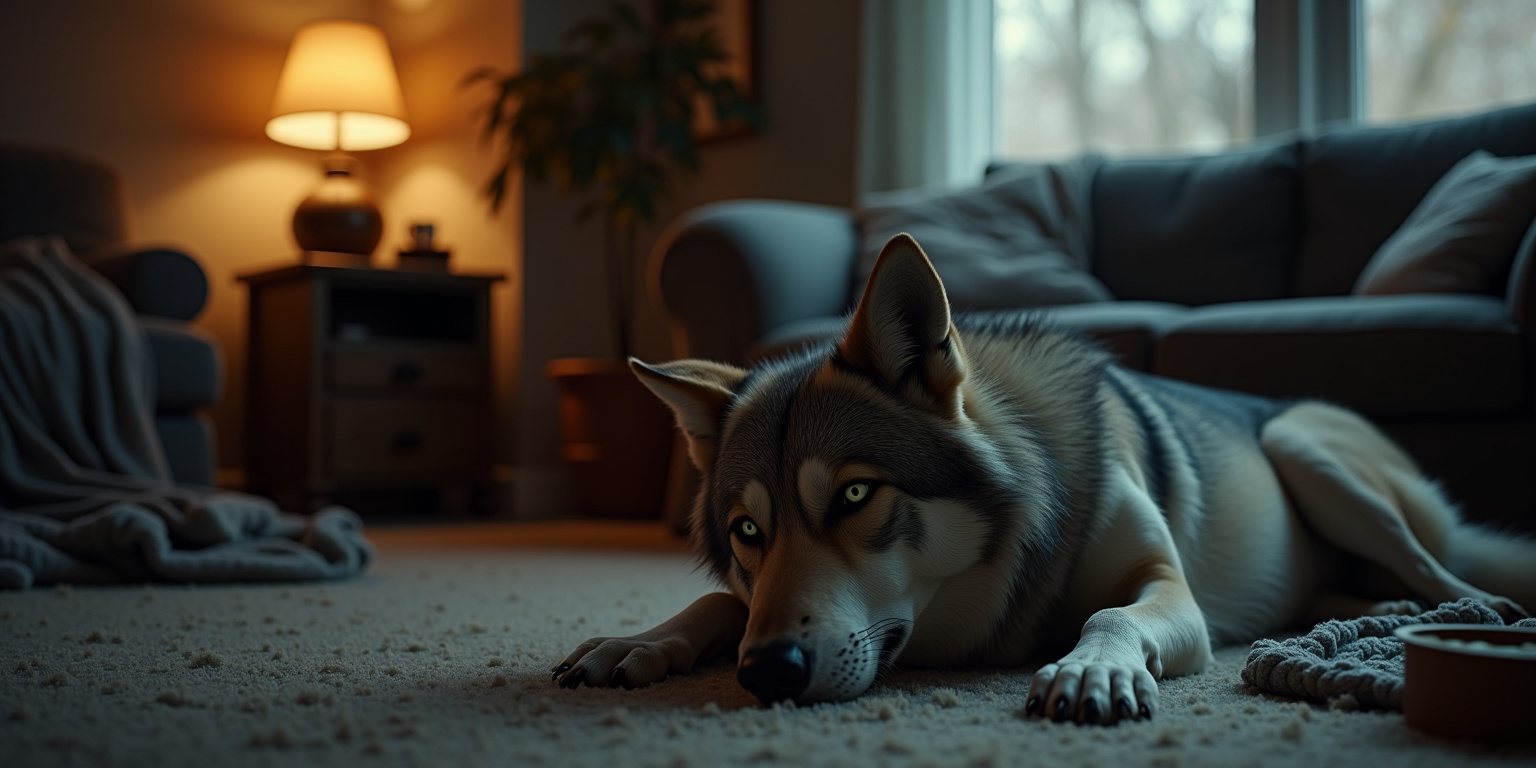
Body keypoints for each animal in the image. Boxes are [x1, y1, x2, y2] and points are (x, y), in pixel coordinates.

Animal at [551, 233, 1536, 724]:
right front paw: (637, 641)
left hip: (1309, 451)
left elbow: (1110, 615)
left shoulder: (1170, 592)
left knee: (1447, 572)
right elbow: (718, 604)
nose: (768, 673)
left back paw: (1460, 610)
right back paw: (1374, 610)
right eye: (749, 532)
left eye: (857, 495)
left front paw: (1091, 670)